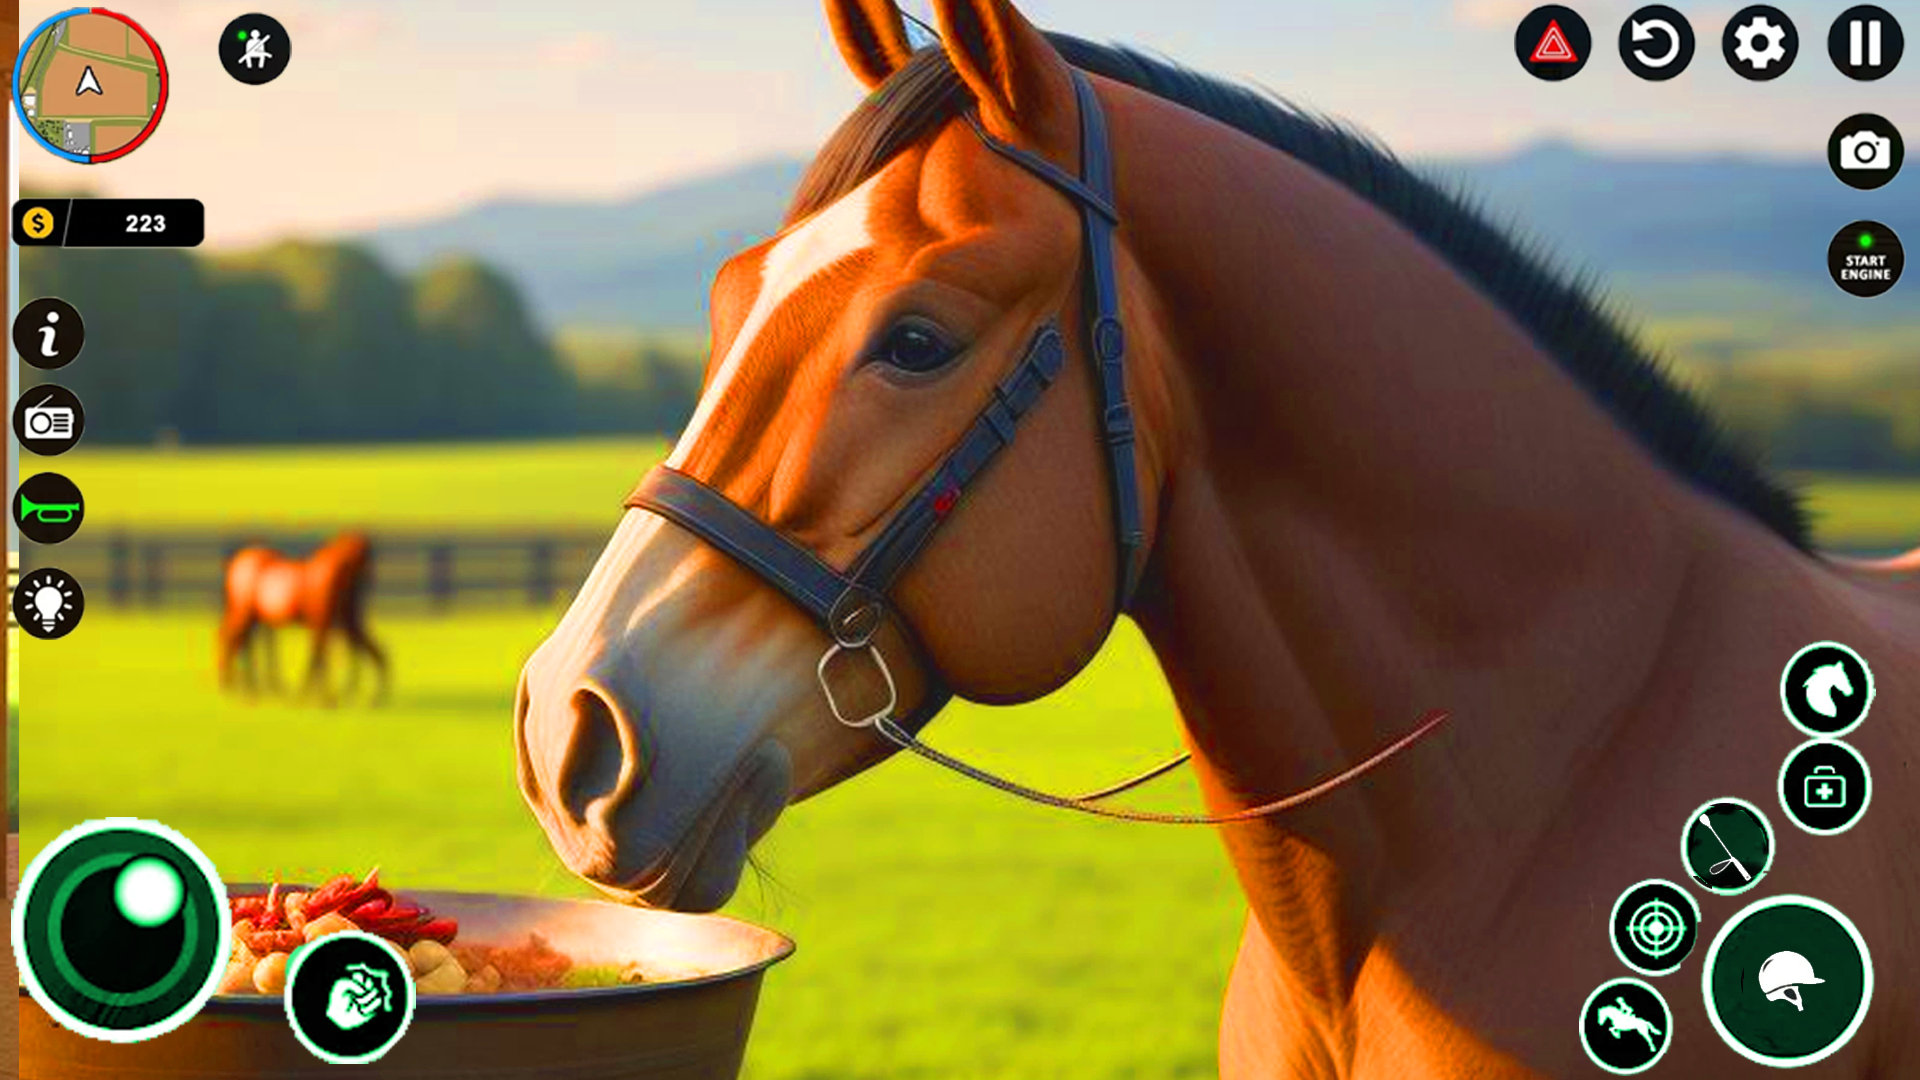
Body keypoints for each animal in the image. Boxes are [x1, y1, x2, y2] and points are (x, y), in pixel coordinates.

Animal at [218, 531, 388, 706]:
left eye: (369, 554)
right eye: (364, 555)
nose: (367, 580)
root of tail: (238, 561)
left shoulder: (335, 623)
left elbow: (319, 656)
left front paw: (313, 695)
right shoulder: (323, 623)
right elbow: (319, 657)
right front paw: (320, 697)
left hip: (250, 617)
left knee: (239, 642)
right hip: (243, 614)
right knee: (231, 639)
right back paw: (235, 686)